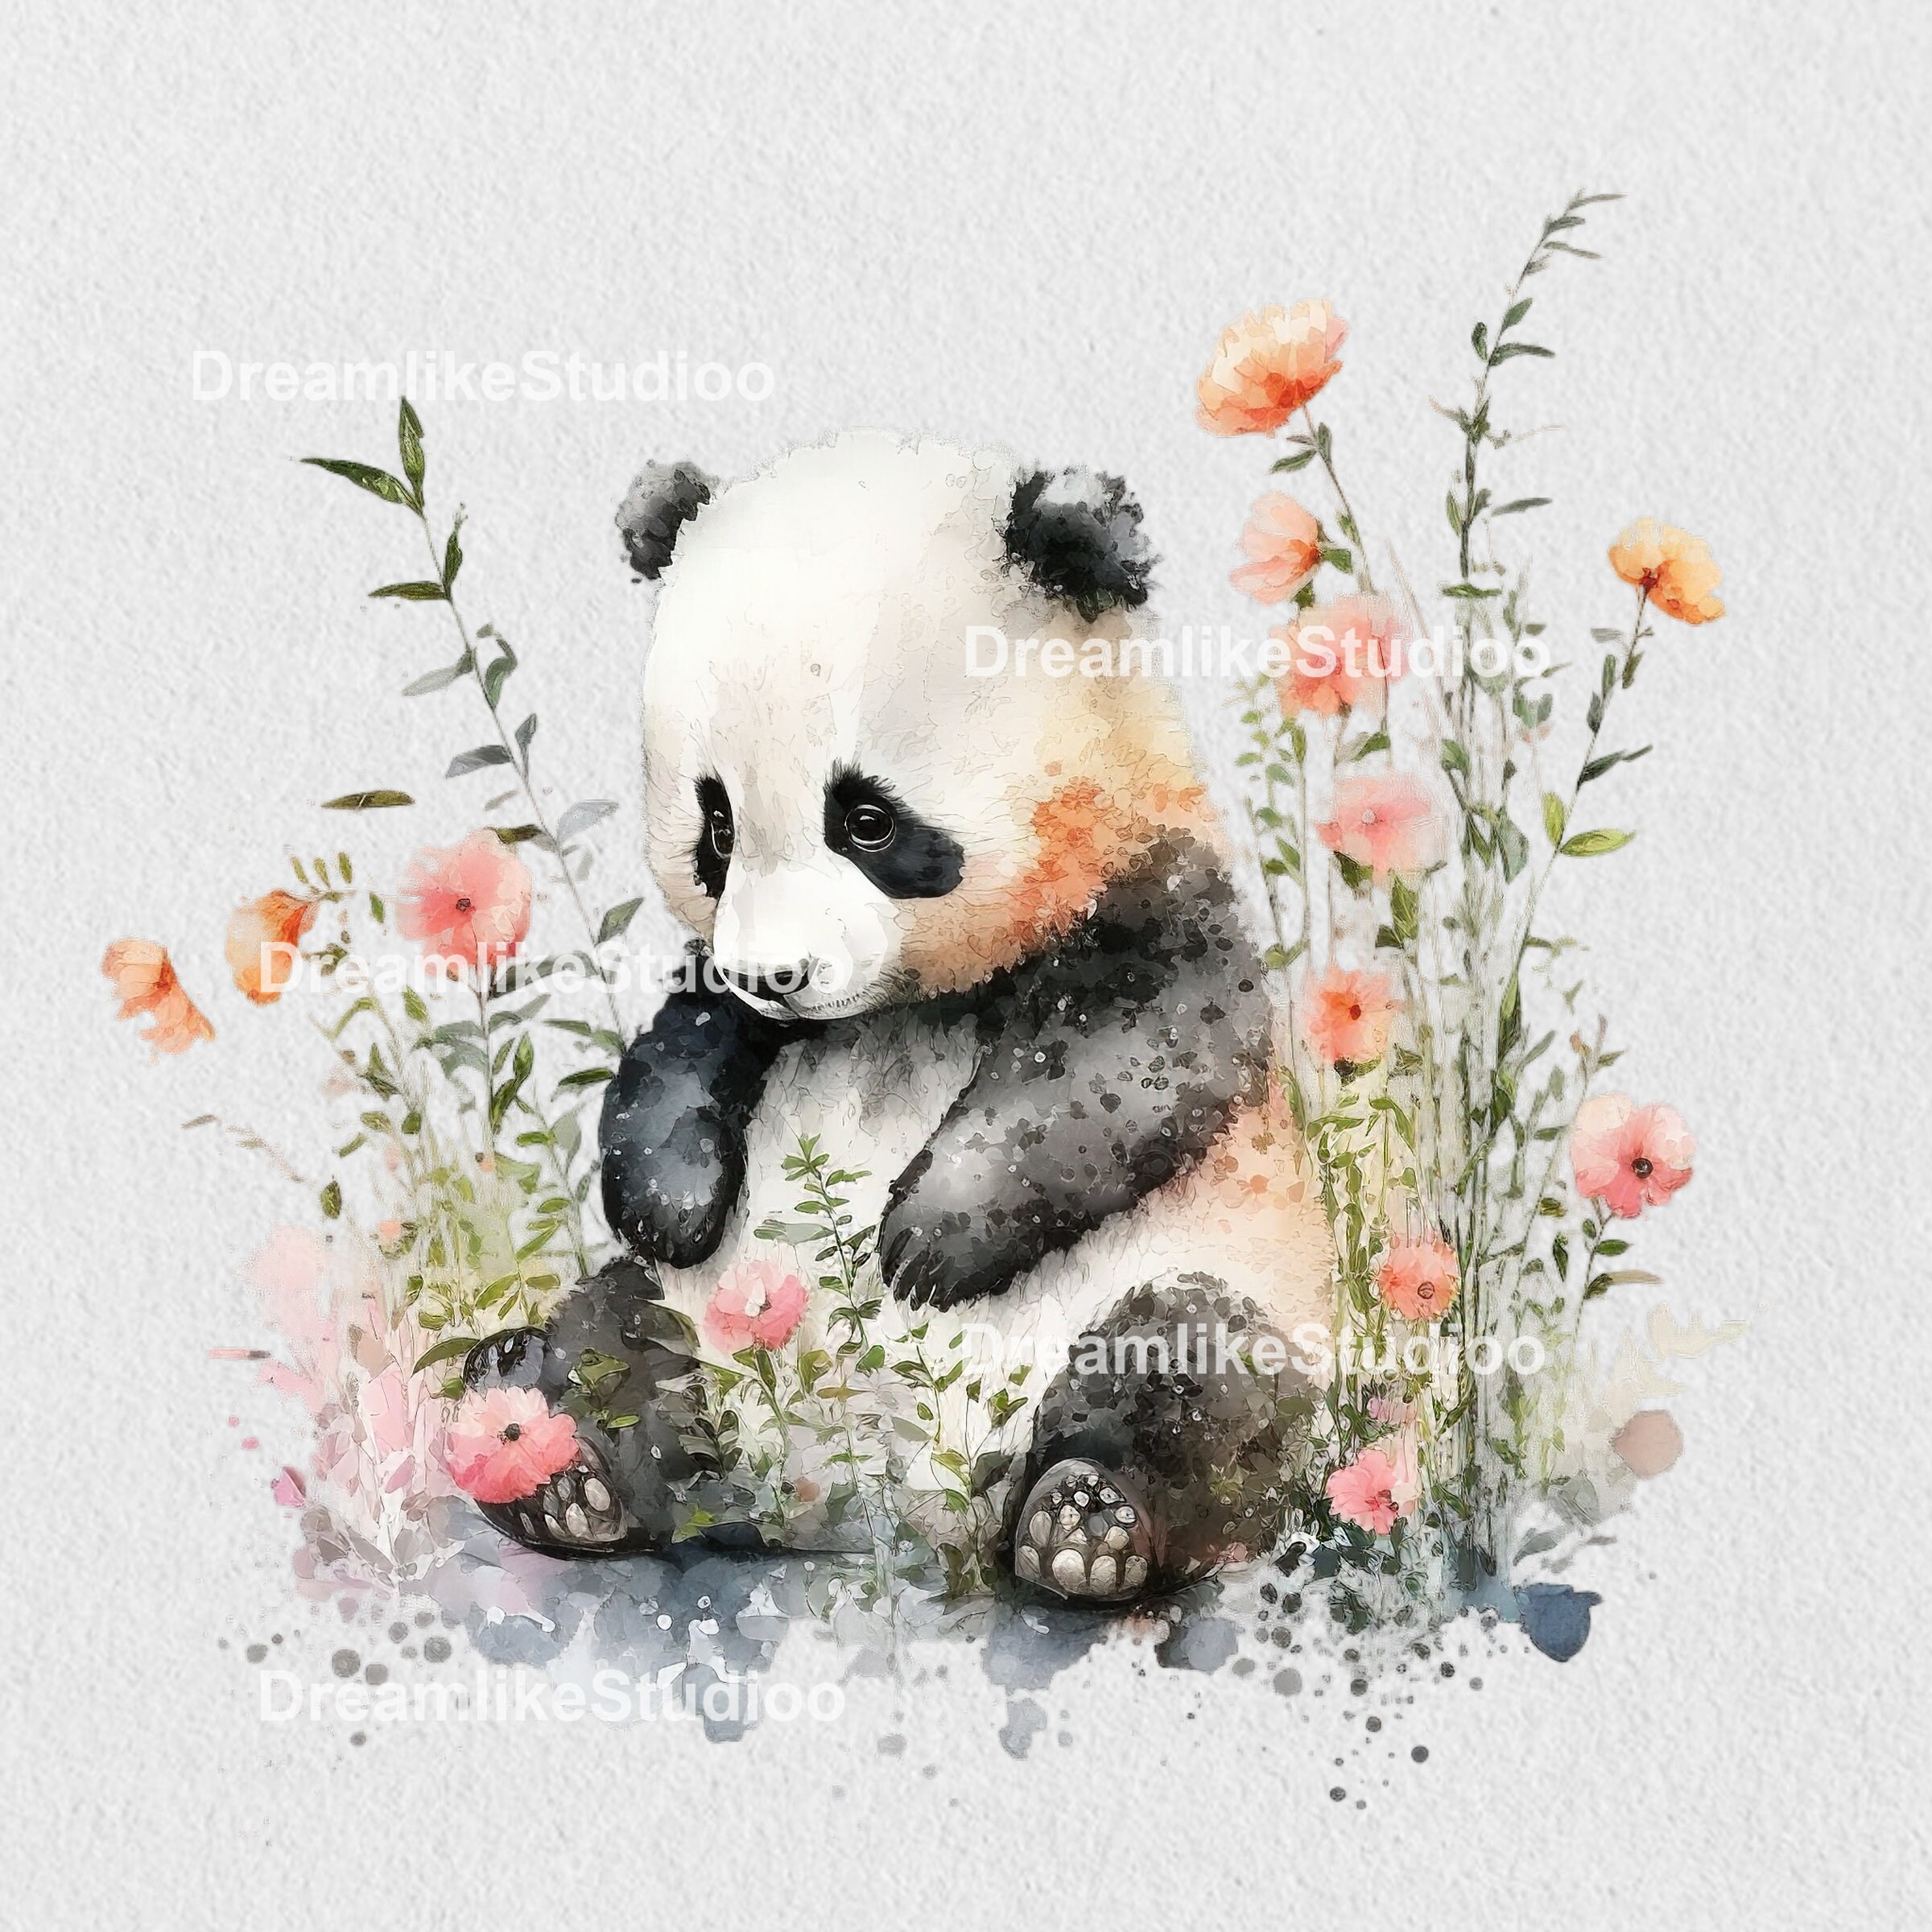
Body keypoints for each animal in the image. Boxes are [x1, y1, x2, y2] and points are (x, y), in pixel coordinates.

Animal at [461, 432, 1333, 1603]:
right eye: (716, 825)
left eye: (867, 818)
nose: (774, 972)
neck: (897, 1009)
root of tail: (865, 1511)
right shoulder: (734, 1003)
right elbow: (679, 1049)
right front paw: (669, 1204)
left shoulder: (1156, 900)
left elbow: (1135, 1059)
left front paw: (926, 1243)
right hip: (705, 1325)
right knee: (614, 1344)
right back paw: (561, 1468)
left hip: (1196, 1281)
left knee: (1188, 1375)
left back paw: (1085, 1527)